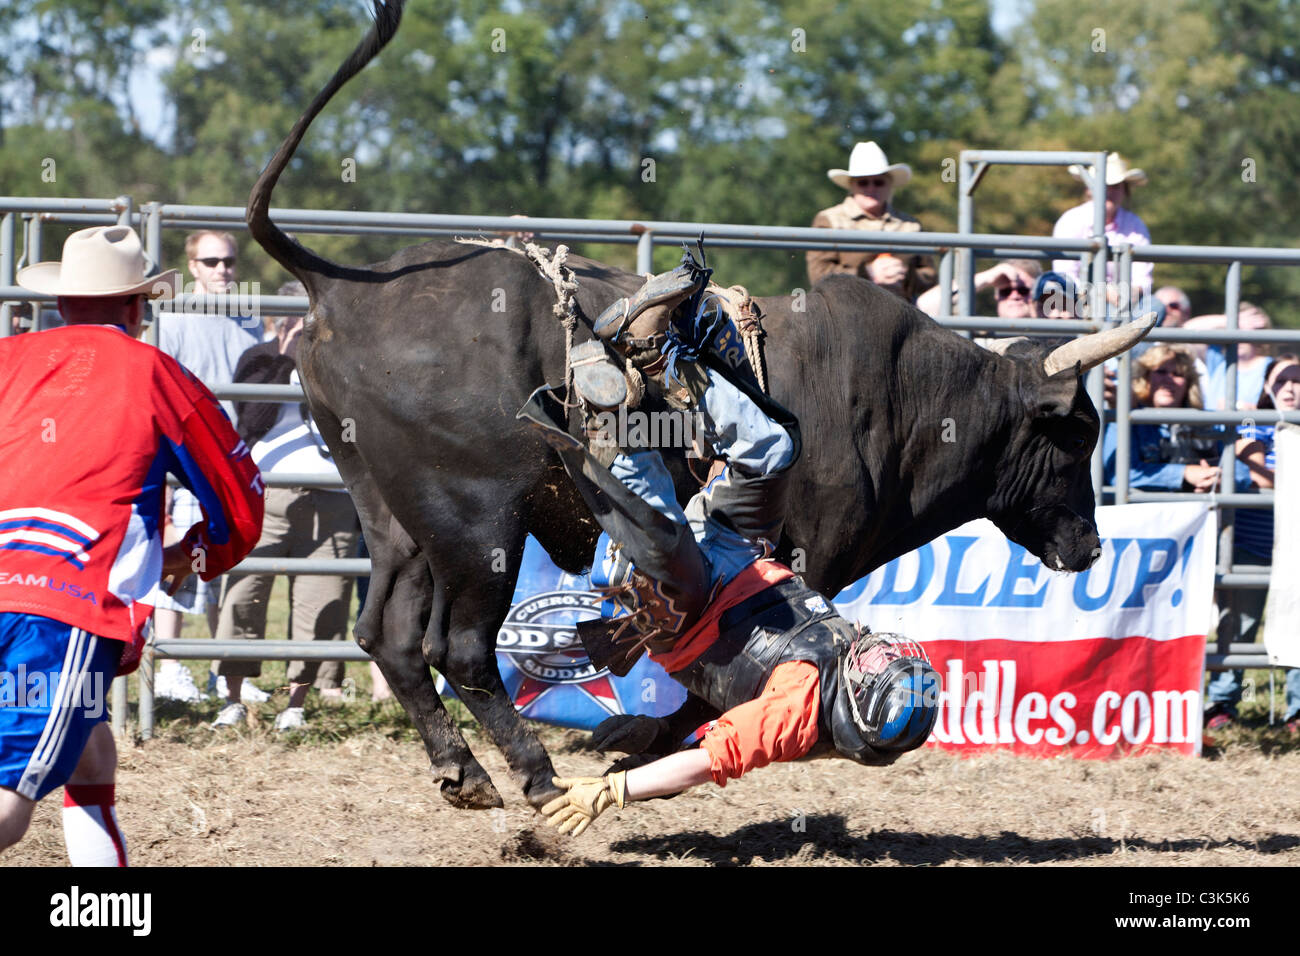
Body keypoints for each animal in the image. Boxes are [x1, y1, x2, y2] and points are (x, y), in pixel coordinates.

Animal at [245, 0, 1152, 811]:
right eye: (1079, 435)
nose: (1088, 545)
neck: (906, 402)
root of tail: (342, 287)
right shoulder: (809, 549)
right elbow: (696, 698)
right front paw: (620, 742)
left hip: (392, 517)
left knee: (389, 638)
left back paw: (463, 771)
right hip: (475, 522)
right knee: (460, 649)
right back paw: (535, 775)